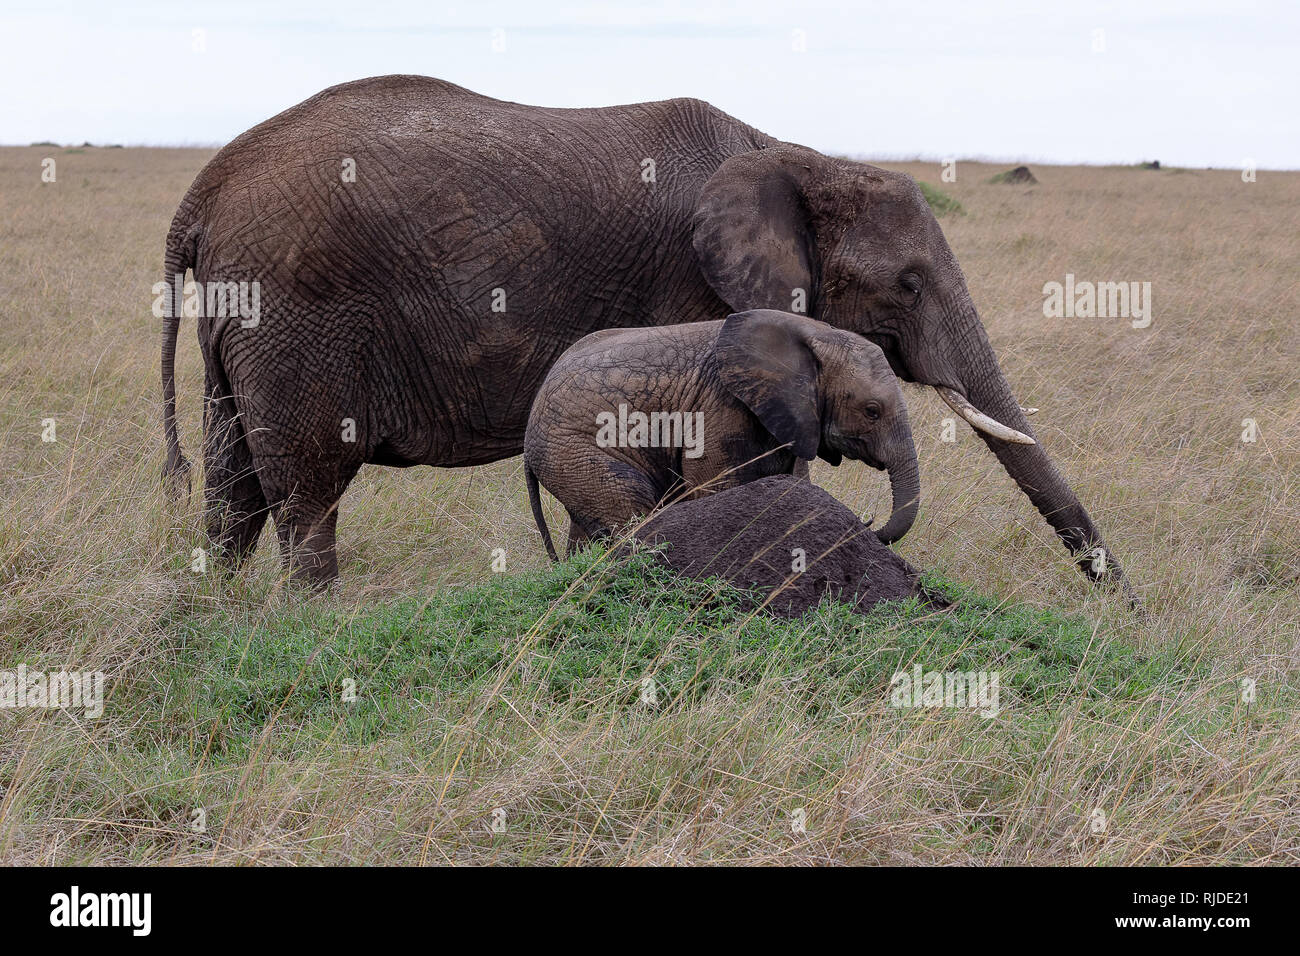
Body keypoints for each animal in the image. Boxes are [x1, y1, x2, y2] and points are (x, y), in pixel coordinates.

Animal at [524, 310, 919, 559]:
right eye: (872, 411)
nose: (869, 523)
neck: (815, 333)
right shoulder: (720, 405)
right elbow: (716, 487)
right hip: (573, 448)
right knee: (630, 512)